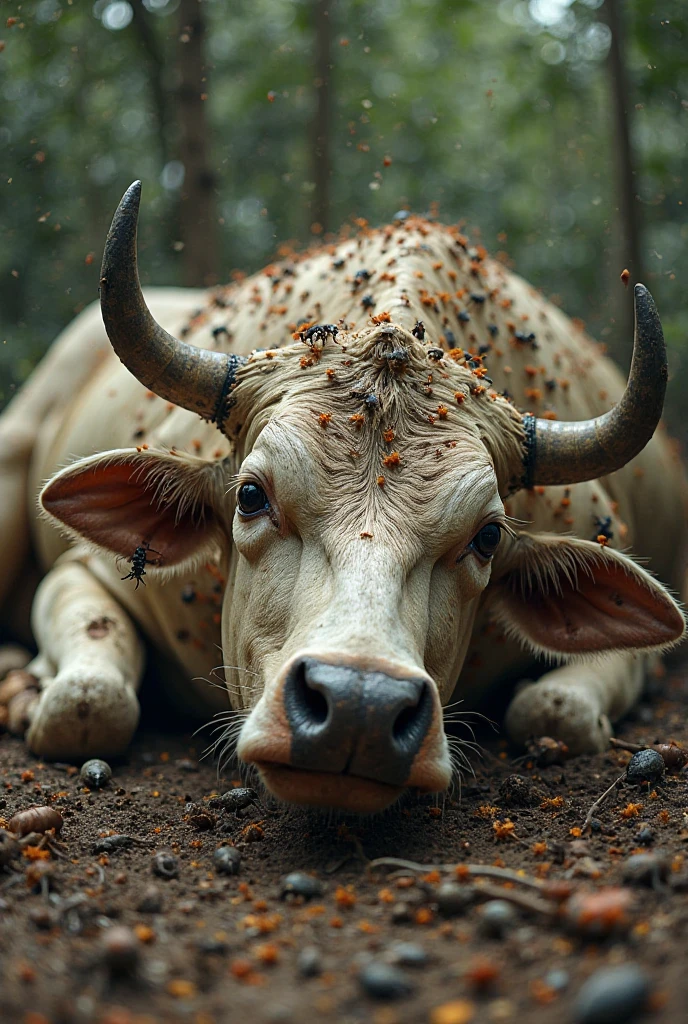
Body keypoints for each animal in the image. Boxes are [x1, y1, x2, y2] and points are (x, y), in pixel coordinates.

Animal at [0, 181, 685, 813]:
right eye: (251, 496)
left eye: (487, 537)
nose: (361, 707)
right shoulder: (87, 569)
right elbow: (88, 702)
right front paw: (29, 692)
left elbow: (555, 707)